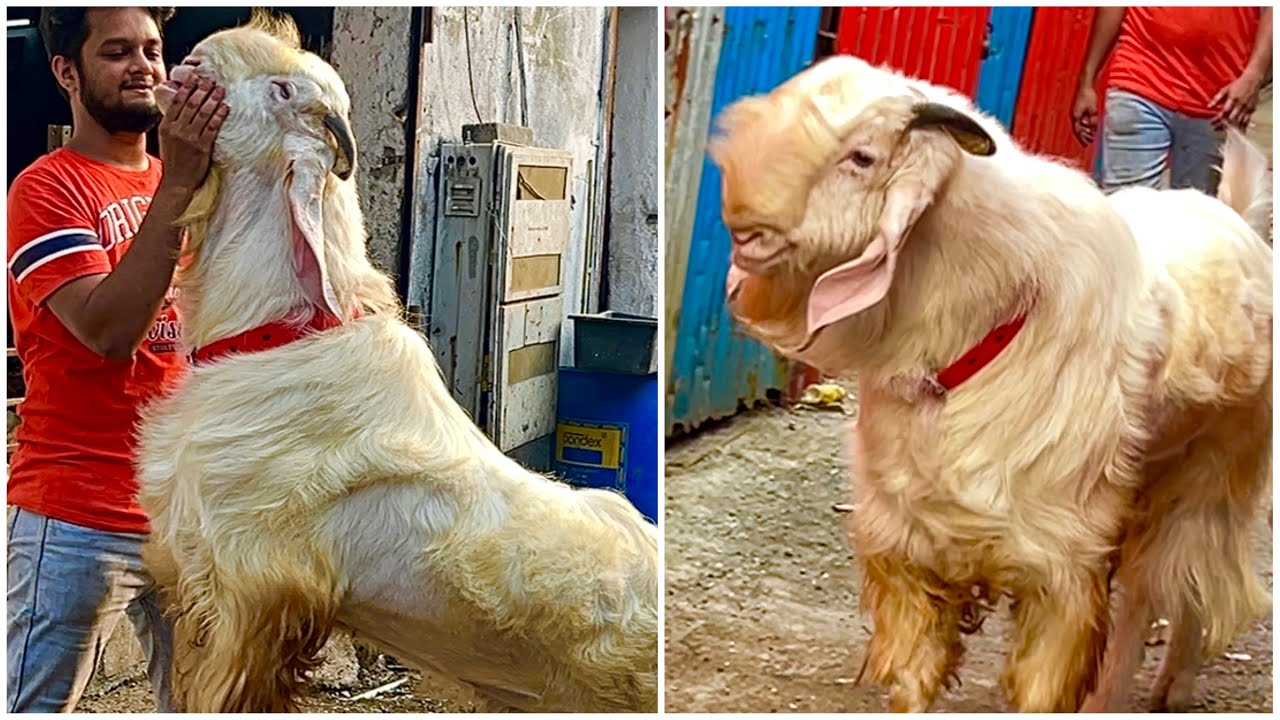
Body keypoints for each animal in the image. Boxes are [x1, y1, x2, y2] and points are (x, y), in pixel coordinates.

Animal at [710, 55, 1271, 712]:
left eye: (863, 157)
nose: (744, 231)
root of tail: (1234, 219)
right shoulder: (910, 543)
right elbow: (913, 679)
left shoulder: (1059, 563)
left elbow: (1045, 684)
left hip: (1212, 476)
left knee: (1174, 590)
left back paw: (1164, 688)